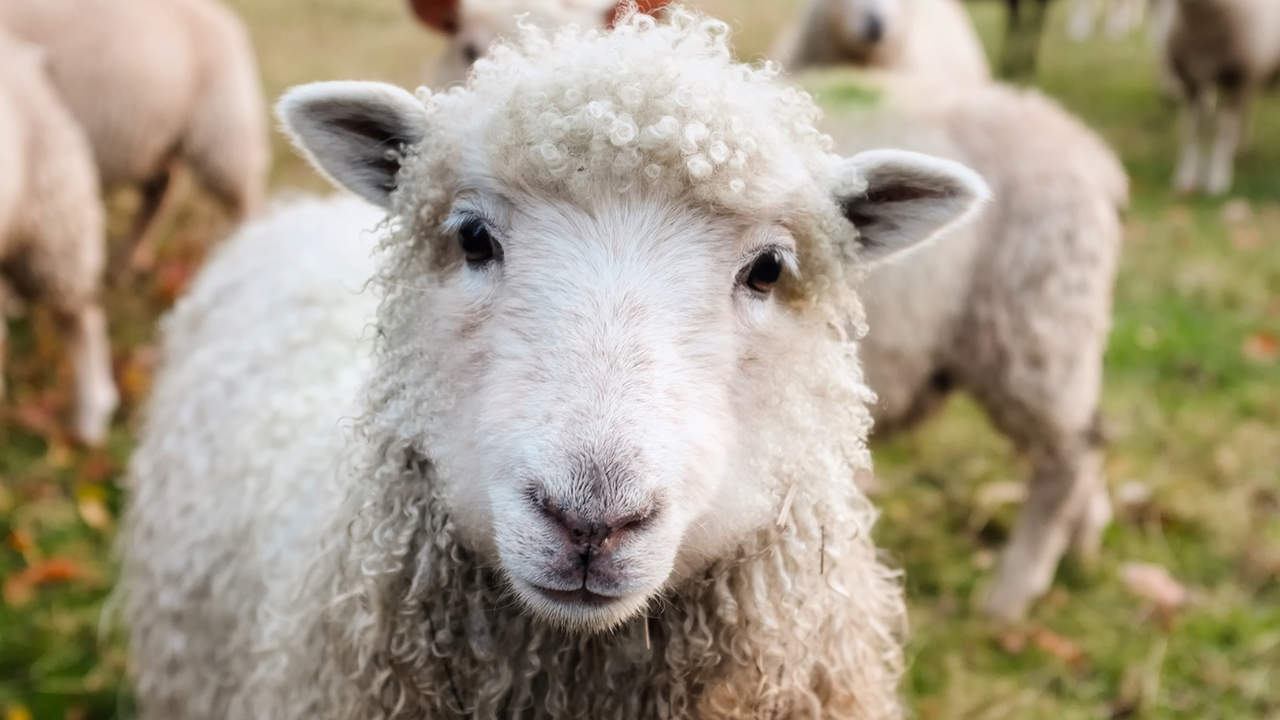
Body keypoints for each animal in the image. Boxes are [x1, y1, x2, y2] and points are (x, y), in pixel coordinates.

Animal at [0, 0, 269, 273]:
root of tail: (225, 21)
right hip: (153, 140)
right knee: (161, 188)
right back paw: (129, 260)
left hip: (223, 132)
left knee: (246, 197)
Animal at [1154, 0, 1280, 195]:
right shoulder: (1191, 80)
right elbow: (1193, 127)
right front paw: (1186, 177)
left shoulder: (1237, 79)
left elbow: (1225, 128)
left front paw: (1218, 179)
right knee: (1247, 108)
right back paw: (1241, 148)